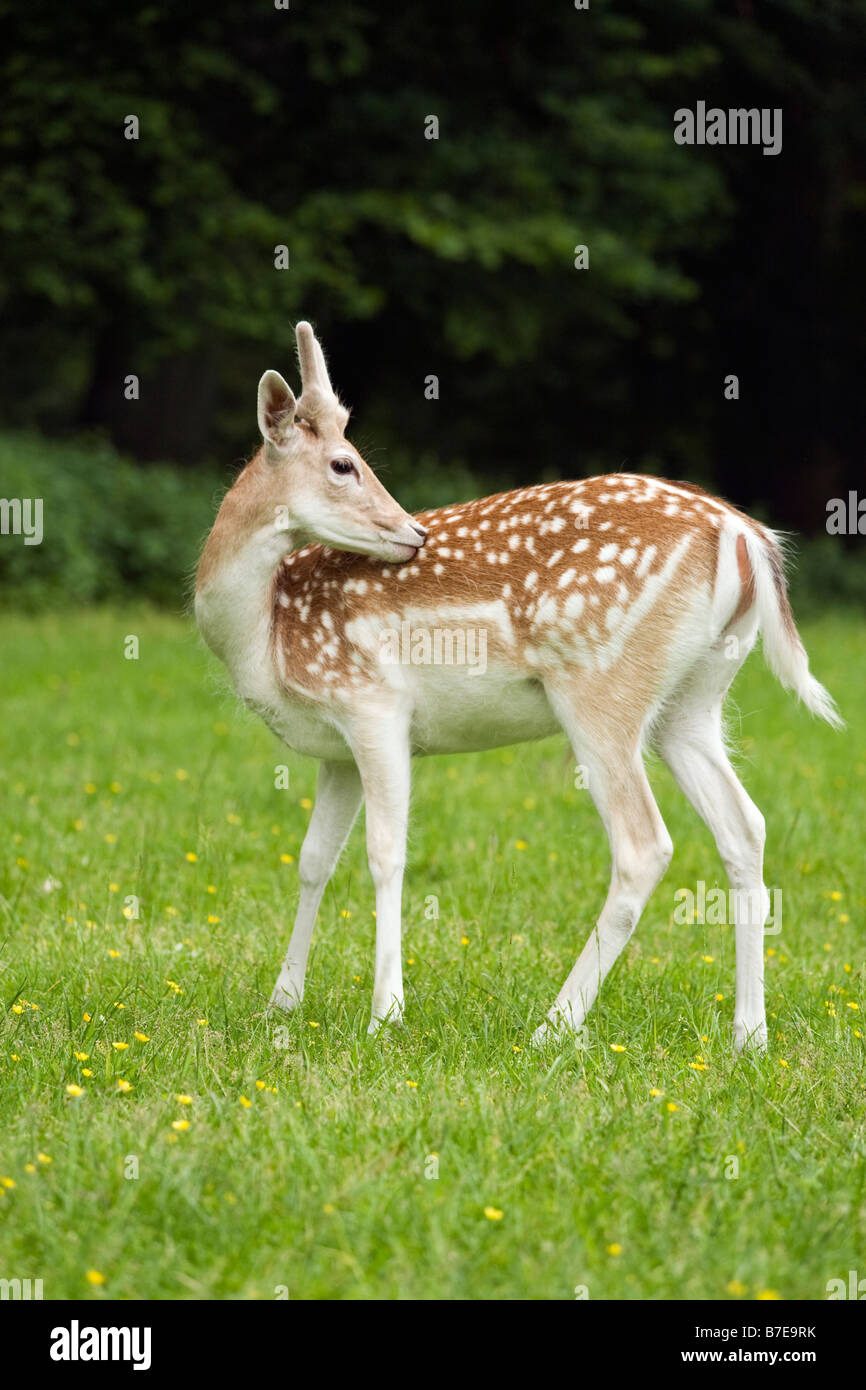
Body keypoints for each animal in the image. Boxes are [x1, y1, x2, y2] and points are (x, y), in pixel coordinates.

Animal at [195, 320, 842, 1051]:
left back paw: (552, 1028)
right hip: (694, 701)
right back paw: (748, 1036)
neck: (267, 635)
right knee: (745, 827)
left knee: (644, 844)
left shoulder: (373, 705)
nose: (413, 532)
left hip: (600, 685)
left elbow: (385, 855)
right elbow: (313, 860)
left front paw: (385, 1015)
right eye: (343, 464)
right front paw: (281, 1005)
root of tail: (745, 534)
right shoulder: (335, 749)